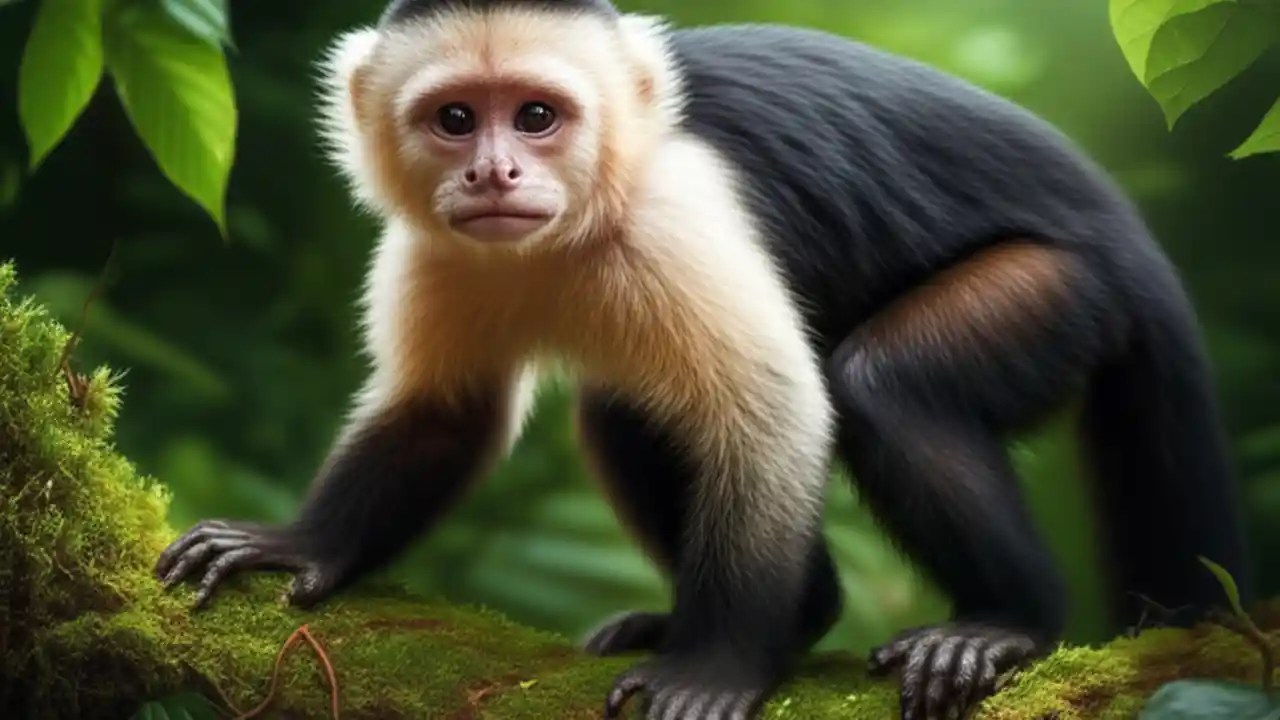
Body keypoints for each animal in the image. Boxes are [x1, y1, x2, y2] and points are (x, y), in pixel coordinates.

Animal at [153, 1, 1254, 718]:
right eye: (455, 118)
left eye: (538, 116)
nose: (493, 173)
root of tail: (1129, 234)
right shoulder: (434, 245)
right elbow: (444, 413)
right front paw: (301, 541)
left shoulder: (678, 205)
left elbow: (772, 412)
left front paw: (718, 666)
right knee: (620, 411)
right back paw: (797, 614)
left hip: (1073, 288)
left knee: (884, 388)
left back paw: (1003, 623)